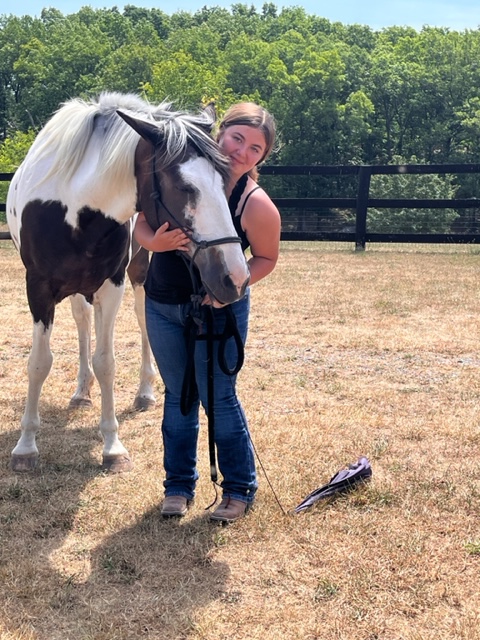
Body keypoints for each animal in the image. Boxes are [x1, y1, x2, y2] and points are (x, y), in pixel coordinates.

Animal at [6, 92, 250, 473]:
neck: (73, 209)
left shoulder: (112, 284)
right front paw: (26, 446)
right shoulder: (39, 289)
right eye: (184, 186)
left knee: (141, 321)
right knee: (83, 322)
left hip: (137, 275)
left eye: (224, 181)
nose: (234, 278)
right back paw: (81, 392)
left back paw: (144, 393)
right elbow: (39, 362)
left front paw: (112, 447)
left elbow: (106, 362)